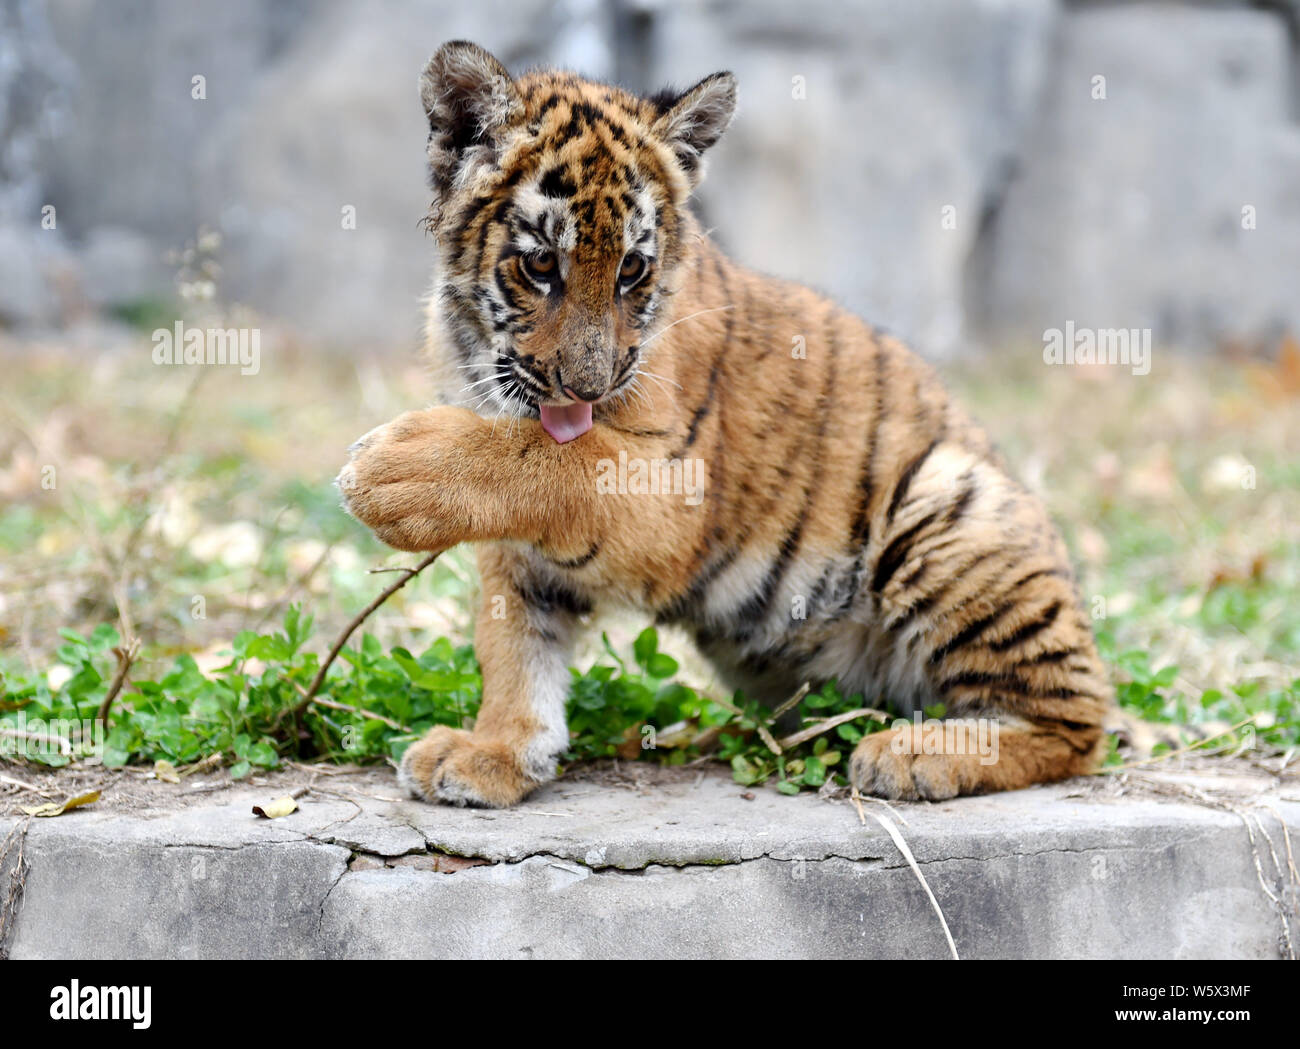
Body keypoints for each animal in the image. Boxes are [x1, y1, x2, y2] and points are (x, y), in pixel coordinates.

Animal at [336, 40, 1114, 807]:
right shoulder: (521, 547)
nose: (589, 385)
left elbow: (553, 463)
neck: (482, 357)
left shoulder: (672, 496)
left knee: (1079, 722)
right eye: (540, 264)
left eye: (632, 269)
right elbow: (514, 639)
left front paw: (388, 472)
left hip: (943, 500)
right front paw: (496, 751)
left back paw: (912, 753)